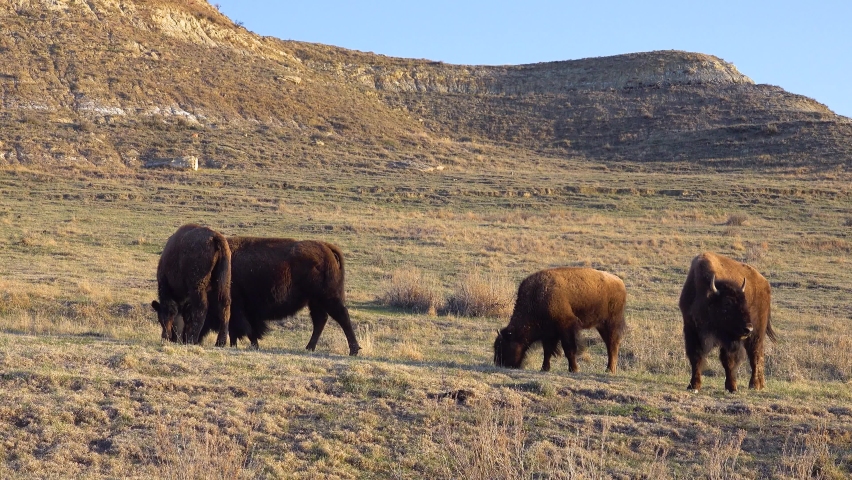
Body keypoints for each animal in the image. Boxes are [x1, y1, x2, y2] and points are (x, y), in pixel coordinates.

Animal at [494, 267, 627, 373]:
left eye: (503, 346)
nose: (499, 363)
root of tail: (619, 282)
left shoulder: (566, 328)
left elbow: (569, 349)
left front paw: (574, 369)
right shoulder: (548, 334)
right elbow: (547, 351)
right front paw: (544, 368)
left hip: (610, 323)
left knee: (612, 345)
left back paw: (609, 370)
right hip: (601, 325)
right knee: (610, 345)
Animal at [679, 252, 776, 392]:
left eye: (745, 302)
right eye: (727, 303)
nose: (748, 328)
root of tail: (765, 283)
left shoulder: (730, 339)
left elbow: (728, 361)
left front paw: (732, 387)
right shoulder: (691, 330)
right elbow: (696, 357)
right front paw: (693, 385)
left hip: (757, 334)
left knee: (755, 354)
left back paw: (754, 384)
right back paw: (760, 384)